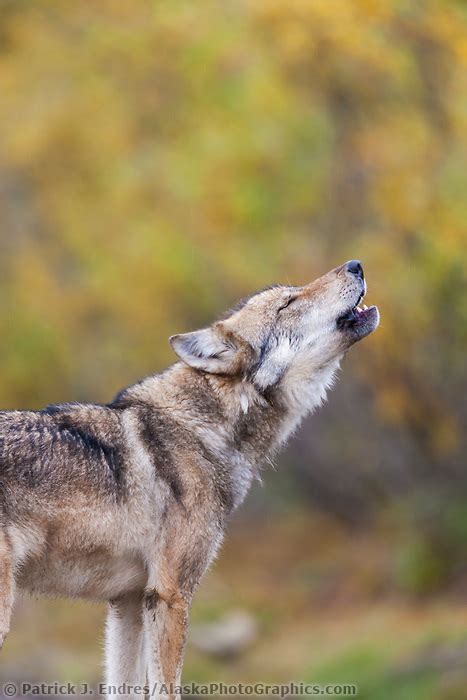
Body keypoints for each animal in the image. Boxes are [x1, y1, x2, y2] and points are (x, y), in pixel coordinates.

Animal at [0, 260, 378, 698]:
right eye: (287, 303)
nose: (356, 264)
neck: (202, 430)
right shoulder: (171, 594)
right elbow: (167, 689)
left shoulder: (128, 601)